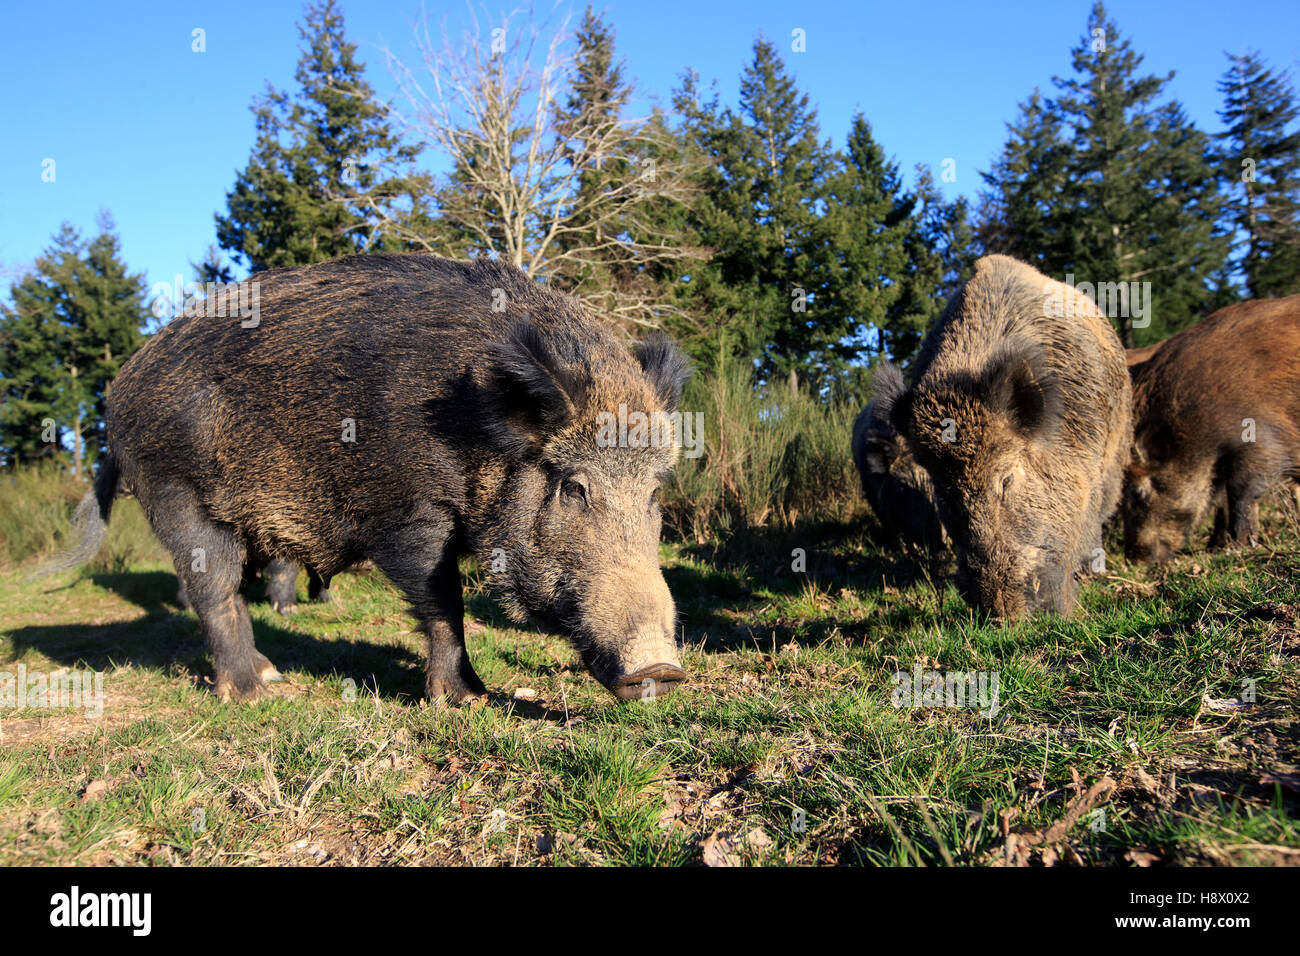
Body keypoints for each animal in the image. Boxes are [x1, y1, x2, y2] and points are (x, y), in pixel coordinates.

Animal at [45, 253, 690, 703]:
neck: (475, 431)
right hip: (175, 491)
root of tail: (118, 395)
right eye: (574, 487)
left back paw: (269, 676)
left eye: (654, 492)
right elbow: (442, 597)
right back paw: (260, 693)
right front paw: (468, 701)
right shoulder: (405, 511)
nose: (662, 668)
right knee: (214, 588)